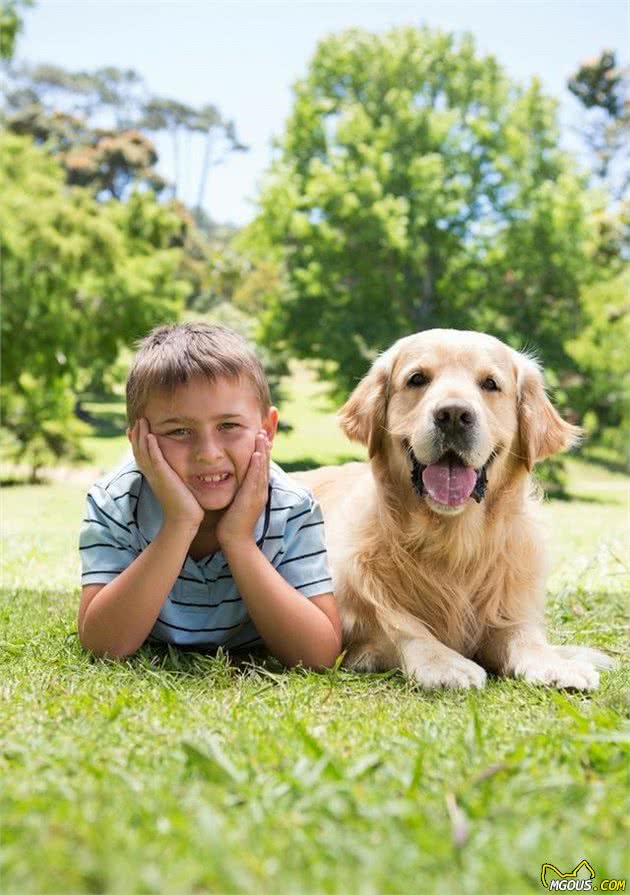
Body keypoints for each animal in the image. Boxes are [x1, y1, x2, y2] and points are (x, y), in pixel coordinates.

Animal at [298, 332, 616, 688]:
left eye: (490, 383)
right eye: (417, 379)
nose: (452, 415)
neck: (453, 541)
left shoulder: (507, 607)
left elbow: (522, 634)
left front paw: (554, 663)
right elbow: (400, 625)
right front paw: (444, 663)